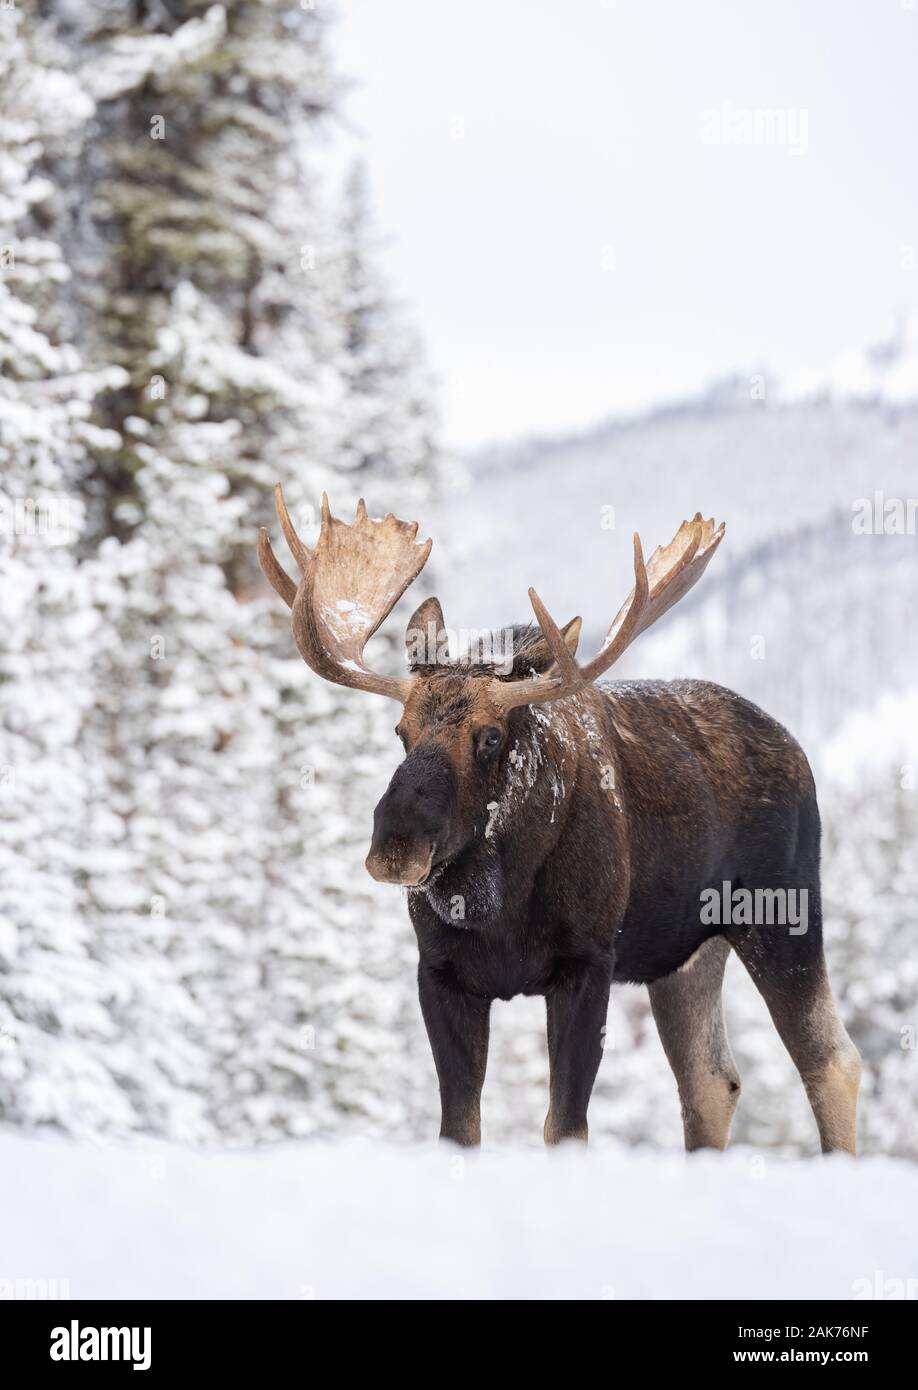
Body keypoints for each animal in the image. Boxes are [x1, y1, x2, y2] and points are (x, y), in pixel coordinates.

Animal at [258, 489, 862, 1155]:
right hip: (685, 957)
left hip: (782, 914)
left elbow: (565, 1126)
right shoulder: (440, 972)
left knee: (831, 1060)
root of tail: (798, 750)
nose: (395, 845)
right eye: (401, 731)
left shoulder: (587, 964)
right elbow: (459, 1127)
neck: (500, 901)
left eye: (490, 737)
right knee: (711, 1082)